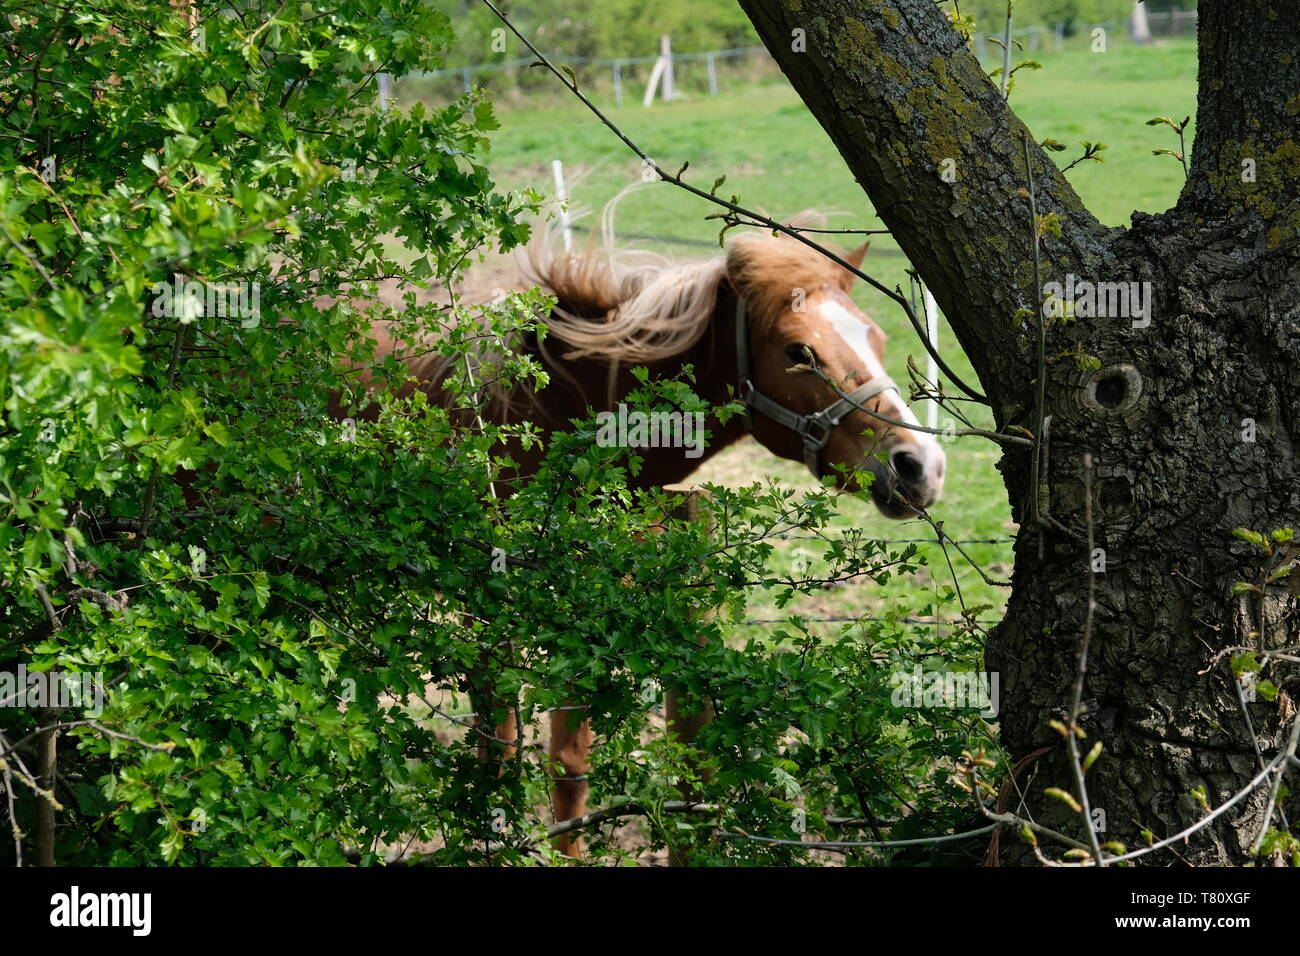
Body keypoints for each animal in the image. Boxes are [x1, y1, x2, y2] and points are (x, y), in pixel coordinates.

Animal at [366, 214, 948, 857]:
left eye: (877, 338)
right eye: (800, 352)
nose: (919, 466)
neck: (553, 411)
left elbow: (570, 766)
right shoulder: (489, 611)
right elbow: (499, 754)